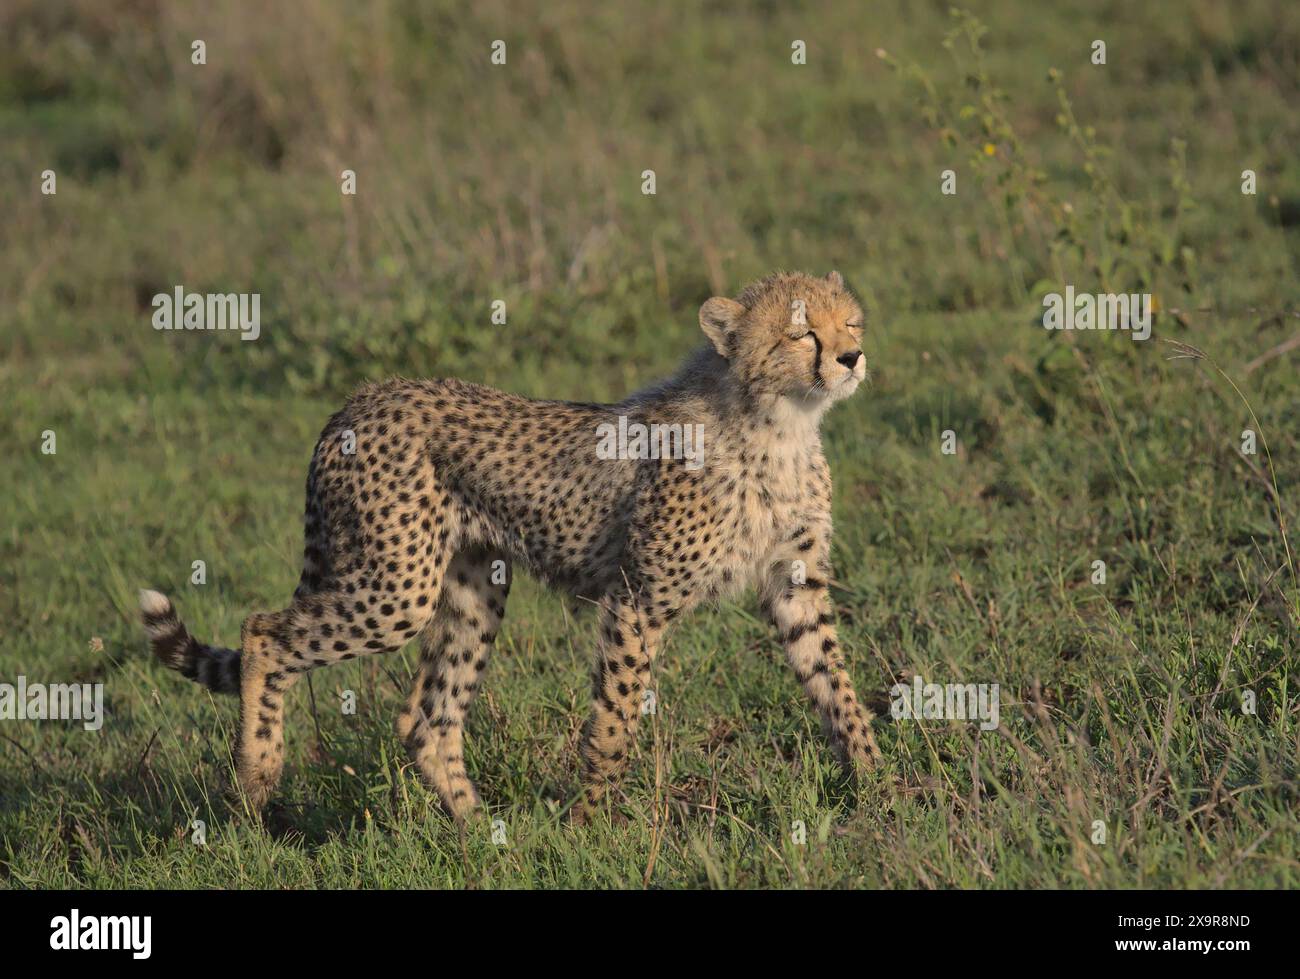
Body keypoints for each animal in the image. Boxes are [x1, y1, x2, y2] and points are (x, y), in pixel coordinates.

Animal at [140, 269, 881, 823]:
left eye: (851, 322)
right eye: (800, 331)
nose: (851, 357)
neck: (778, 422)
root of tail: (360, 398)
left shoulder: (795, 581)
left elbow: (835, 685)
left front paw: (878, 783)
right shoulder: (637, 599)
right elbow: (614, 718)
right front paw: (592, 826)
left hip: (472, 586)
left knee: (426, 719)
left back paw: (484, 833)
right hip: (395, 588)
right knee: (264, 634)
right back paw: (257, 777)